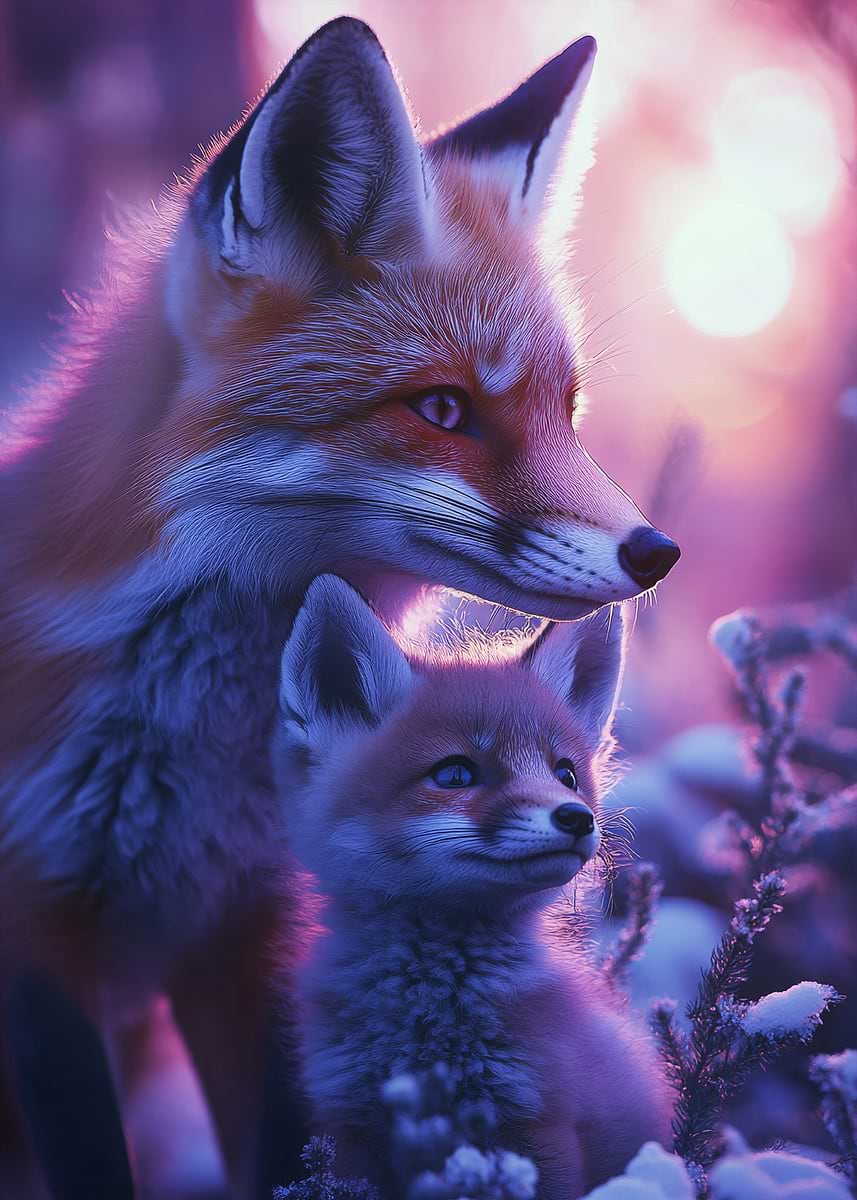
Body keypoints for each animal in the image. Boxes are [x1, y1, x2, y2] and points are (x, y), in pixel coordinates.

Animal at [273, 574, 673, 1200]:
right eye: (456, 773)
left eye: (565, 774)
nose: (577, 818)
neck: (432, 1022)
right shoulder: (349, 1134)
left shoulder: (542, 1127)